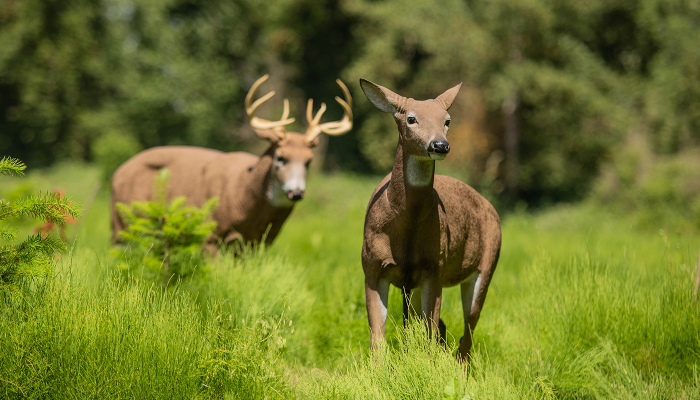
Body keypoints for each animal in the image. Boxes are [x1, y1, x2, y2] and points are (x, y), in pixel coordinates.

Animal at [111, 75, 353, 247]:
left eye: (308, 161)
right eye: (280, 157)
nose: (296, 192)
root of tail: (117, 173)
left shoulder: (261, 242)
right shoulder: (210, 235)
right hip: (119, 222)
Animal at [359, 79, 501, 363]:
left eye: (447, 120)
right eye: (411, 118)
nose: (439, 145)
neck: (406, 225)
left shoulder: (435, 267)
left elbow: (428, 331)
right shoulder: (372, 266)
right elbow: (377, 336)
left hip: (488, 263)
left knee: (466, 333)